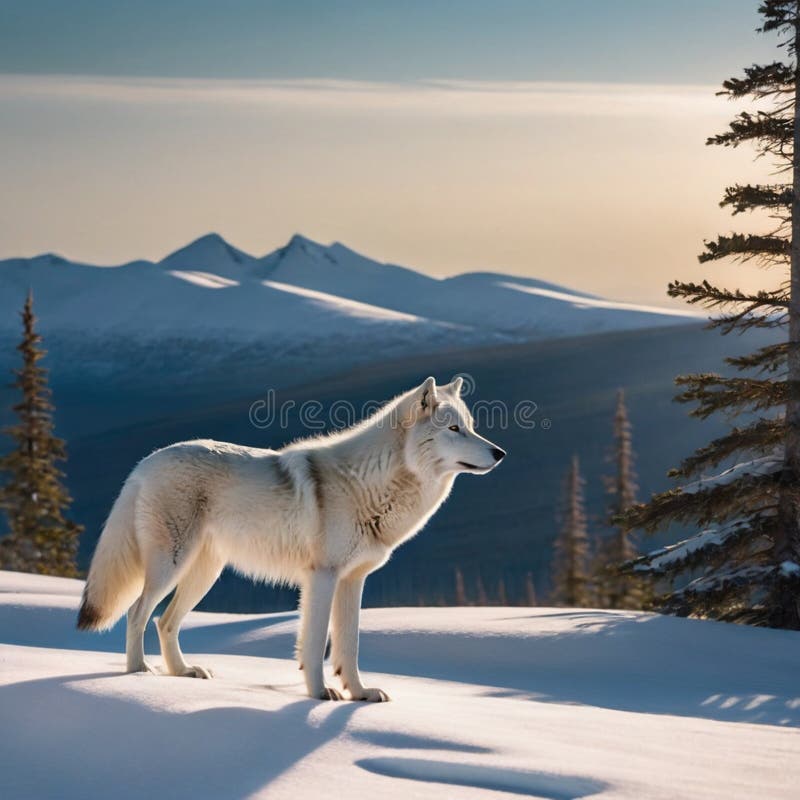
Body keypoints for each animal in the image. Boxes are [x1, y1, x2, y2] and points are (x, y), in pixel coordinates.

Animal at [77, 376, 505, 701]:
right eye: (454, 429)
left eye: (471, 425)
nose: (500, 453)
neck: (370, 483)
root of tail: (145, 461)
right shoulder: (322, 577)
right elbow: (314, 645)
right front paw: (319, 695)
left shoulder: (353, 580)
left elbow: (349, 646)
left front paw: (360, 694)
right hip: (171, 566)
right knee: (137, 613)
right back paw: (139, 675)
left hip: (204, 574)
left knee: (164, 622)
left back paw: (182, 672)